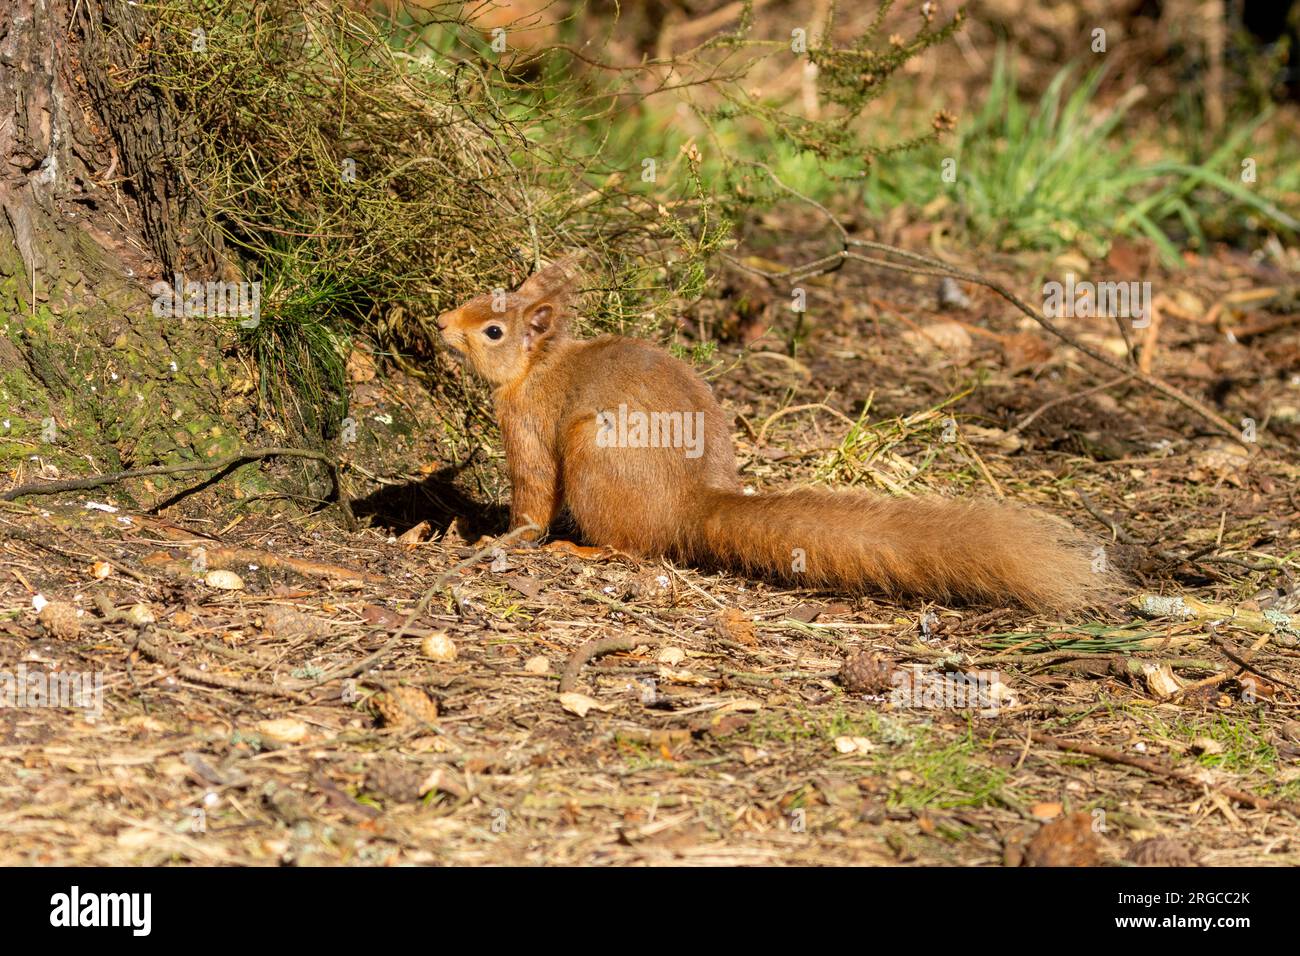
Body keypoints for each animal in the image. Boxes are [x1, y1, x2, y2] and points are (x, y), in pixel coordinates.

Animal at [436, 255, 1111, 611]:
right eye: (478, 296)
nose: (442, 322)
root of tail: (692, 505)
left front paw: (494, 539)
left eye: (493, 331)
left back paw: (584, 549)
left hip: (593, 452)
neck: (537, 366)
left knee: (635, 546)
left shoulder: (527, 425)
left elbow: (532, 495)